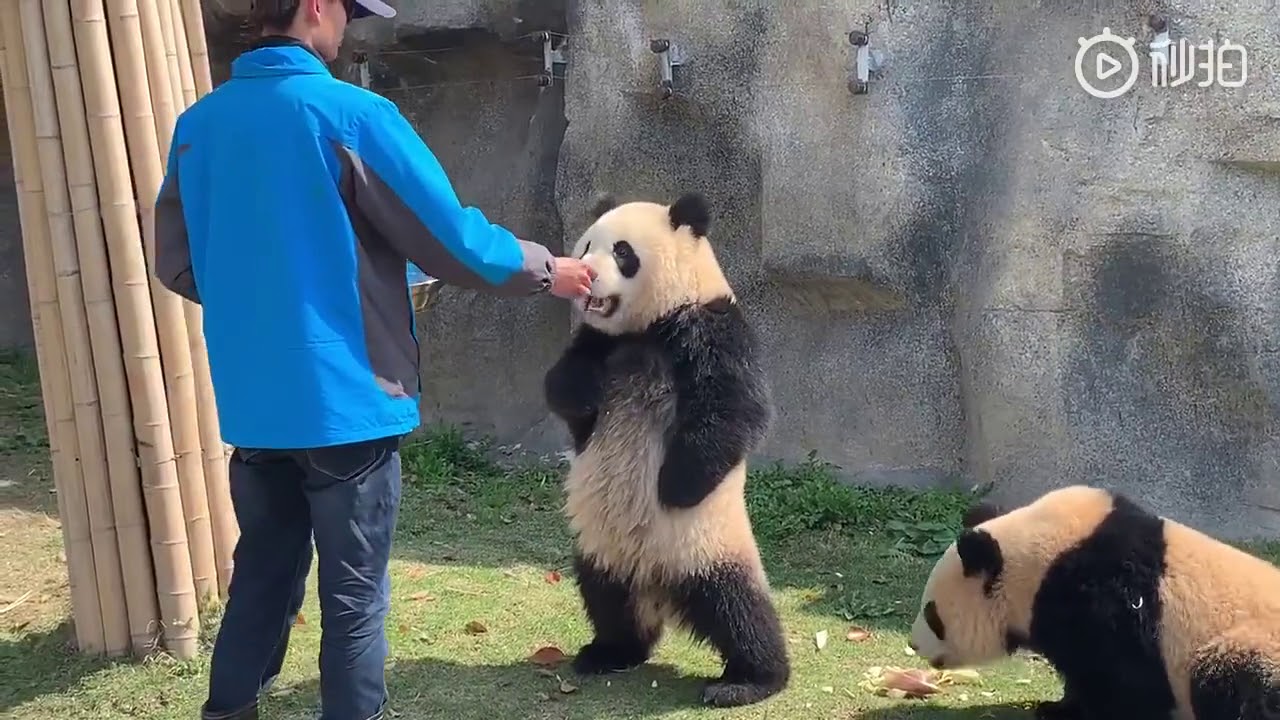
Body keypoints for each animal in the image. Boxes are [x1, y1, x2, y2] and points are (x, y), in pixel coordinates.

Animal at [541, 191, 790, 708]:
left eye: (622, 252)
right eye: (587, 243)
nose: (586, 272)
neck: (649, 327)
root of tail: (657, 582)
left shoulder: (711, 326)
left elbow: (736, 409)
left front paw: (676, 486)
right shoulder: (598, 341)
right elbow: (563, 388)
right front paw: (586, 394)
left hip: (707, 545)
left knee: (738, 609)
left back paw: (750, 680)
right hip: (602, 547)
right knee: (606, 596)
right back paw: (611, 652)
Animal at [908, 484, 1280, 720]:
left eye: (932, 614)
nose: (913, 644)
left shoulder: (1102, 600)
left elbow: (1122, 680)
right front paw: (1057, 708)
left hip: (1253, 647)